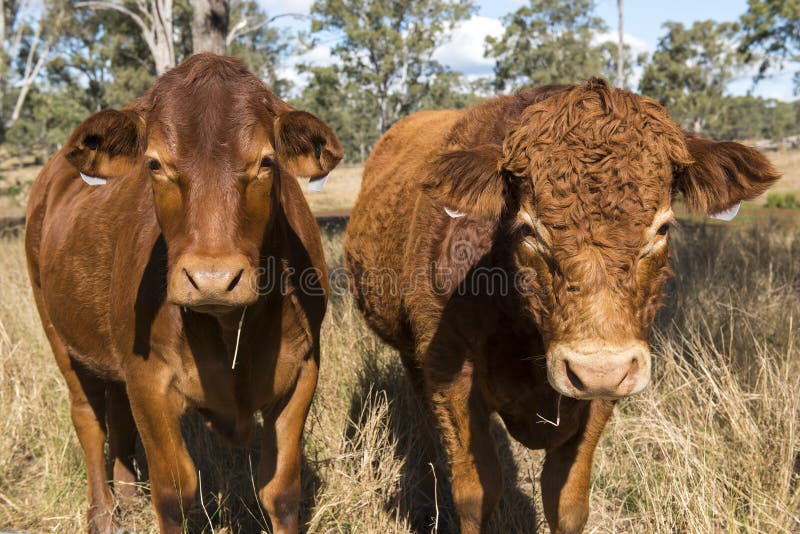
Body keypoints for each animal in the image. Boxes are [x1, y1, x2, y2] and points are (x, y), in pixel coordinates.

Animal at [25, 54, 342, 534]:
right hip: (58, 333)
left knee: (118, 415)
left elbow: (282, 491)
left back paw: (128, 495)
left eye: (266, 161)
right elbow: (174, 493)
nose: (212, 279)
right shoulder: (149, 379)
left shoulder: (303, 368)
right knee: (88, 418)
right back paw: (103, 512)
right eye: (155, 164)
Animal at [343, 79, 779, 533]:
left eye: (662, 228)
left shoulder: (597, 401)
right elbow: (476, 493)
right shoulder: (450, 375)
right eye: (528, 229)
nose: (599, 368)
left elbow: (566, 499)